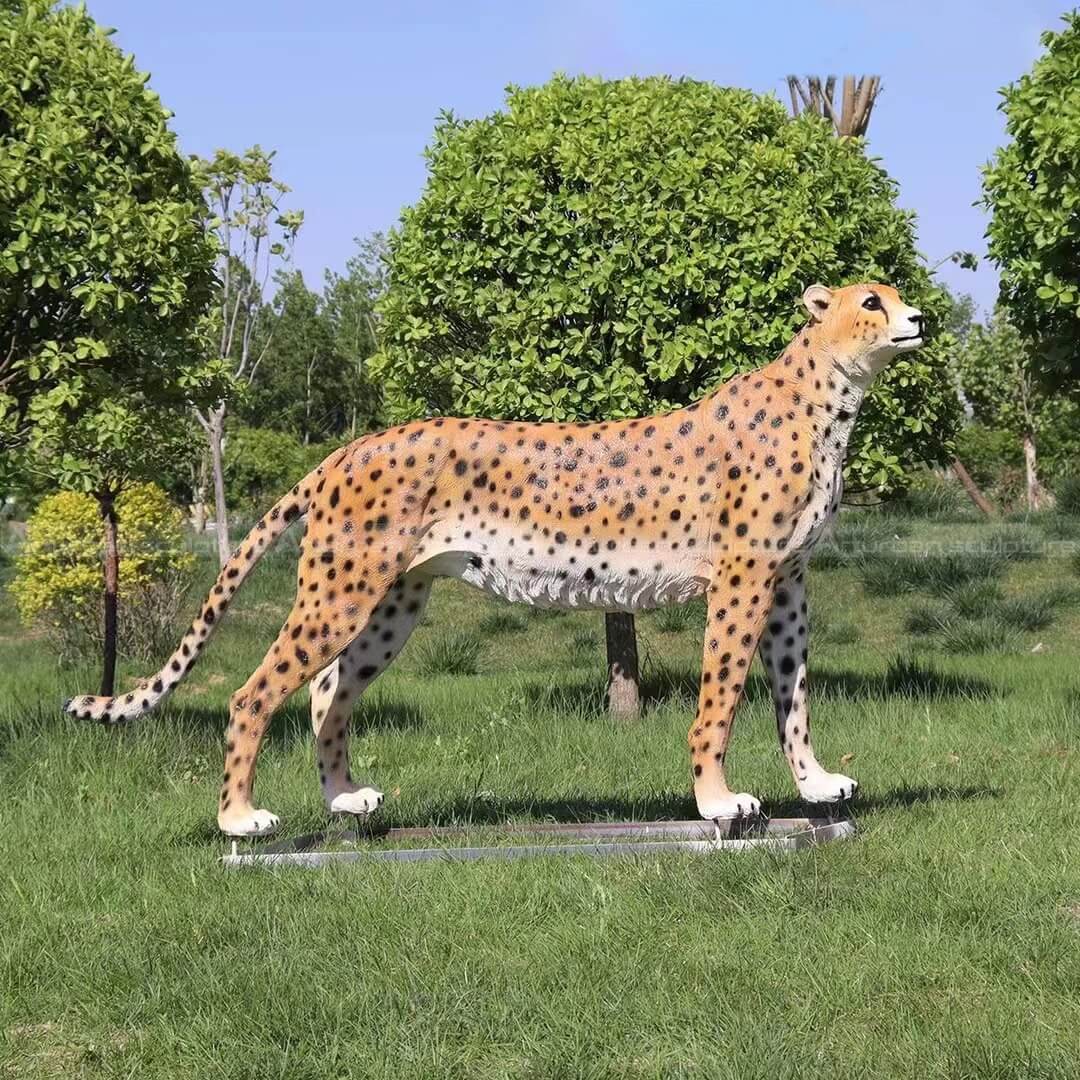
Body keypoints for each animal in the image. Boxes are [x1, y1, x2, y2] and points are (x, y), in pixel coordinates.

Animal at [66, 282, 925, 837]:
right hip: (341, 596)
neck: (827, 395)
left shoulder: (788, 584)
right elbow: (719, 702)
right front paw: (718, 802)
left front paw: (817, 785)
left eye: (896, 292)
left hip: (390, 604)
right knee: (255, 694)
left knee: (326, 692)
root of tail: (350, 446)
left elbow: (794, 696)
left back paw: (345, 800)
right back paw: (239, 820)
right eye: (870, 301)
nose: (920, 317)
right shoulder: (743, 579)